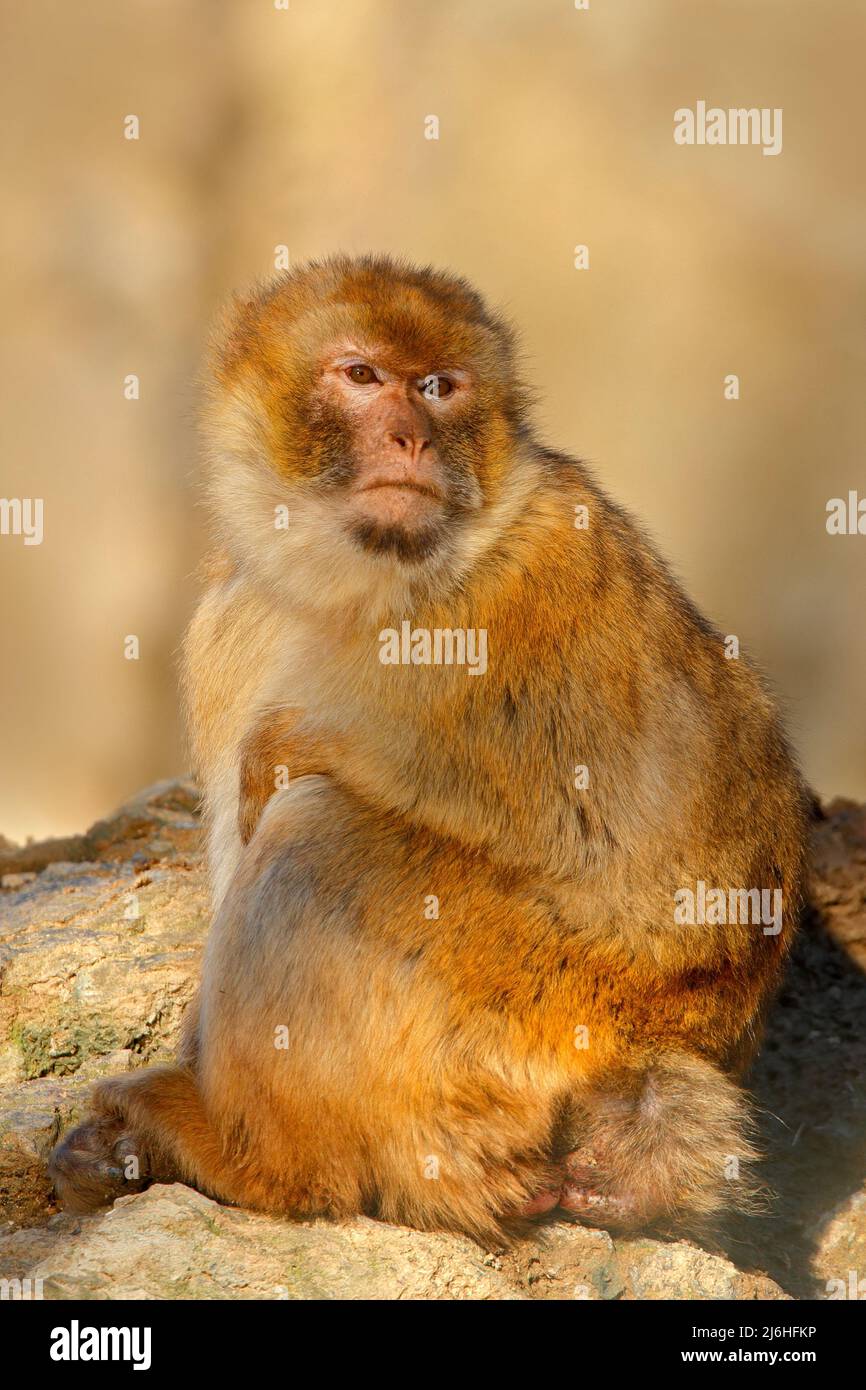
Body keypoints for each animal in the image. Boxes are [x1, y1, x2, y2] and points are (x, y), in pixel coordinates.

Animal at [49, 254, 810, 1244]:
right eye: (363, 376)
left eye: (440, 388)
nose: (410, 436)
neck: (350, 584)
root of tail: (649, 1054)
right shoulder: (228, 625)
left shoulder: (521, 592)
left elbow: (627, 853)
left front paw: (289, 747)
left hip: (521, 1018)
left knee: (316, 835)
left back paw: (263, 1163)